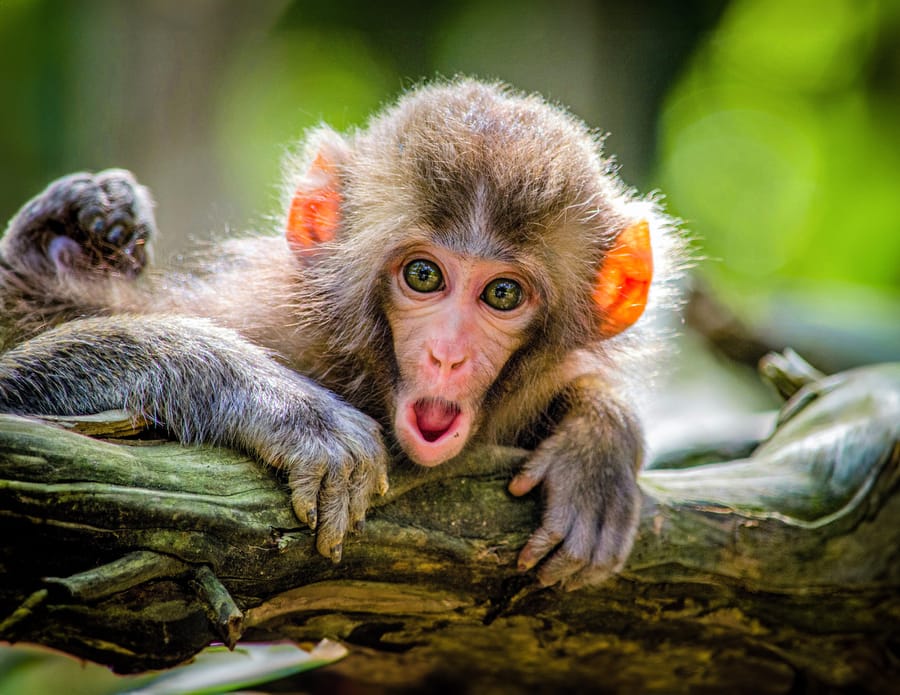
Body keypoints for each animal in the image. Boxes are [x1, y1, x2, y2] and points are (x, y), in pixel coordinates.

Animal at [0, 79, 684, 590]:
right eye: (423, 275)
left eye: (503, 294)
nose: (448, 354)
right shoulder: (266, 317)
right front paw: (285, 407)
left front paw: (598, 440)